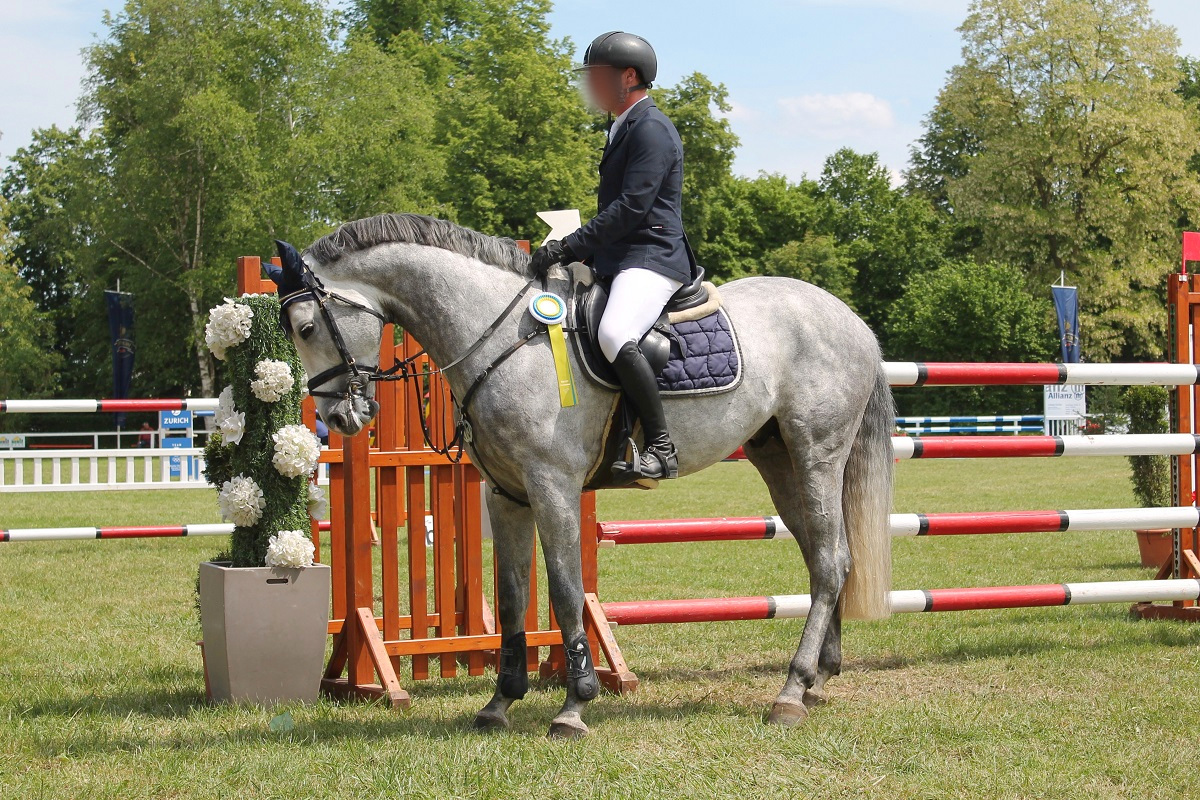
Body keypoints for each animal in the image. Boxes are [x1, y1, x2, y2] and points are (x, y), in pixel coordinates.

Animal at [271, 212, 895, 738]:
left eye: (305, 327)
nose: (340, 418)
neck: (501, 339)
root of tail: (851, 319)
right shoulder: (506, 494)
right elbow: (511, 597)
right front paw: (500, 702)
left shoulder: (552, 486)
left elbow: (568, 591)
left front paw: (574, 705)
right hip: (778, 459)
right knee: (825, 558)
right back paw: (816, 678)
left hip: (817, 453)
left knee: (830, 561)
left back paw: (790, 691)